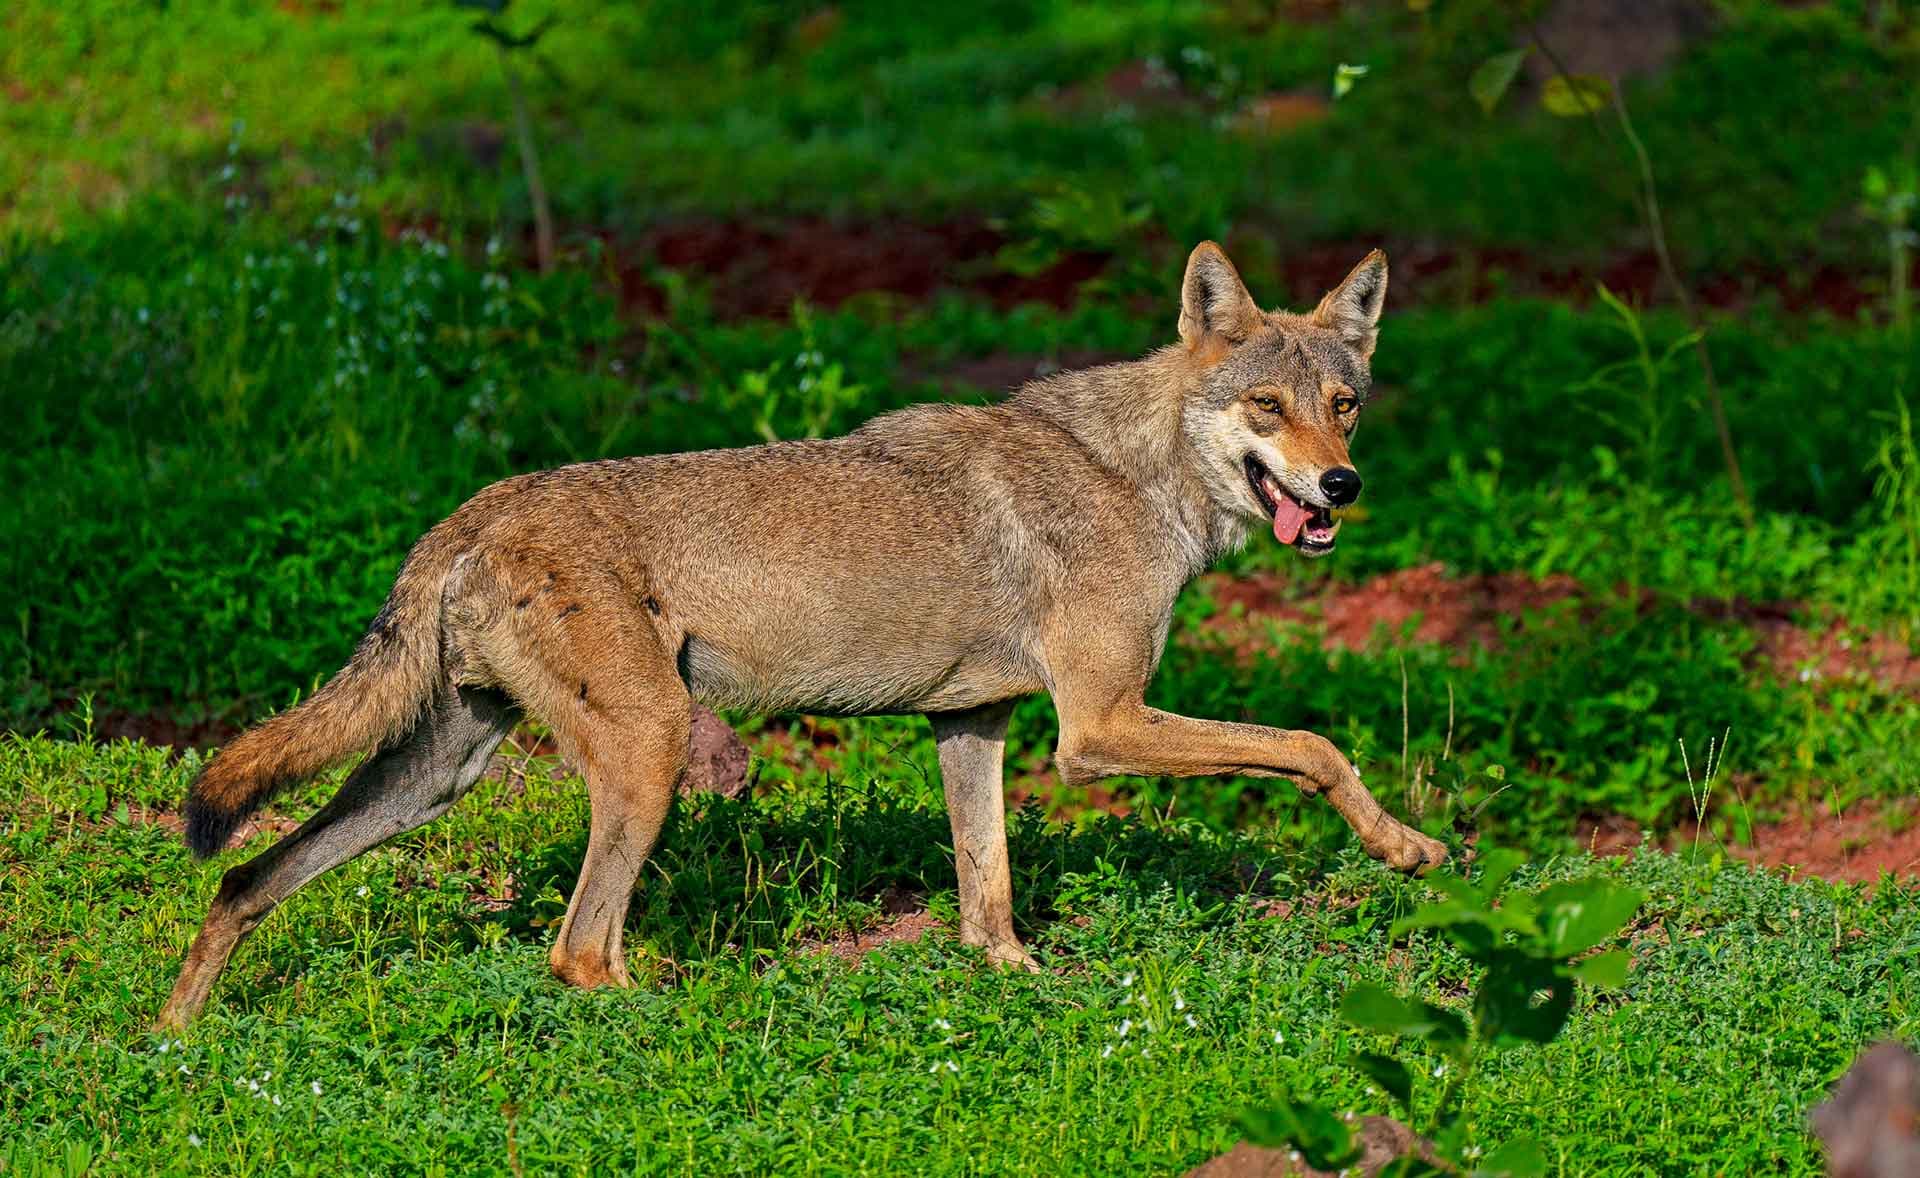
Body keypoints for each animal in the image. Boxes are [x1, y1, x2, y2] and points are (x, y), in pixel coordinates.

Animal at [156, 241, 1447, 1030]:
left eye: (1346, 404)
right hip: (650, 754)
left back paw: (171, 1046)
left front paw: (1018, 984)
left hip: (433, 780)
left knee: (244, 877)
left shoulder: (973, 727)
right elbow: (1312, 747)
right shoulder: (1097, 730)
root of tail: (475, 508)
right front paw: (1408, 848)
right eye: (1267, 407)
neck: (1134, 477)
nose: (1341, 485)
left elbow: (988, 898)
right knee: (581, 954)